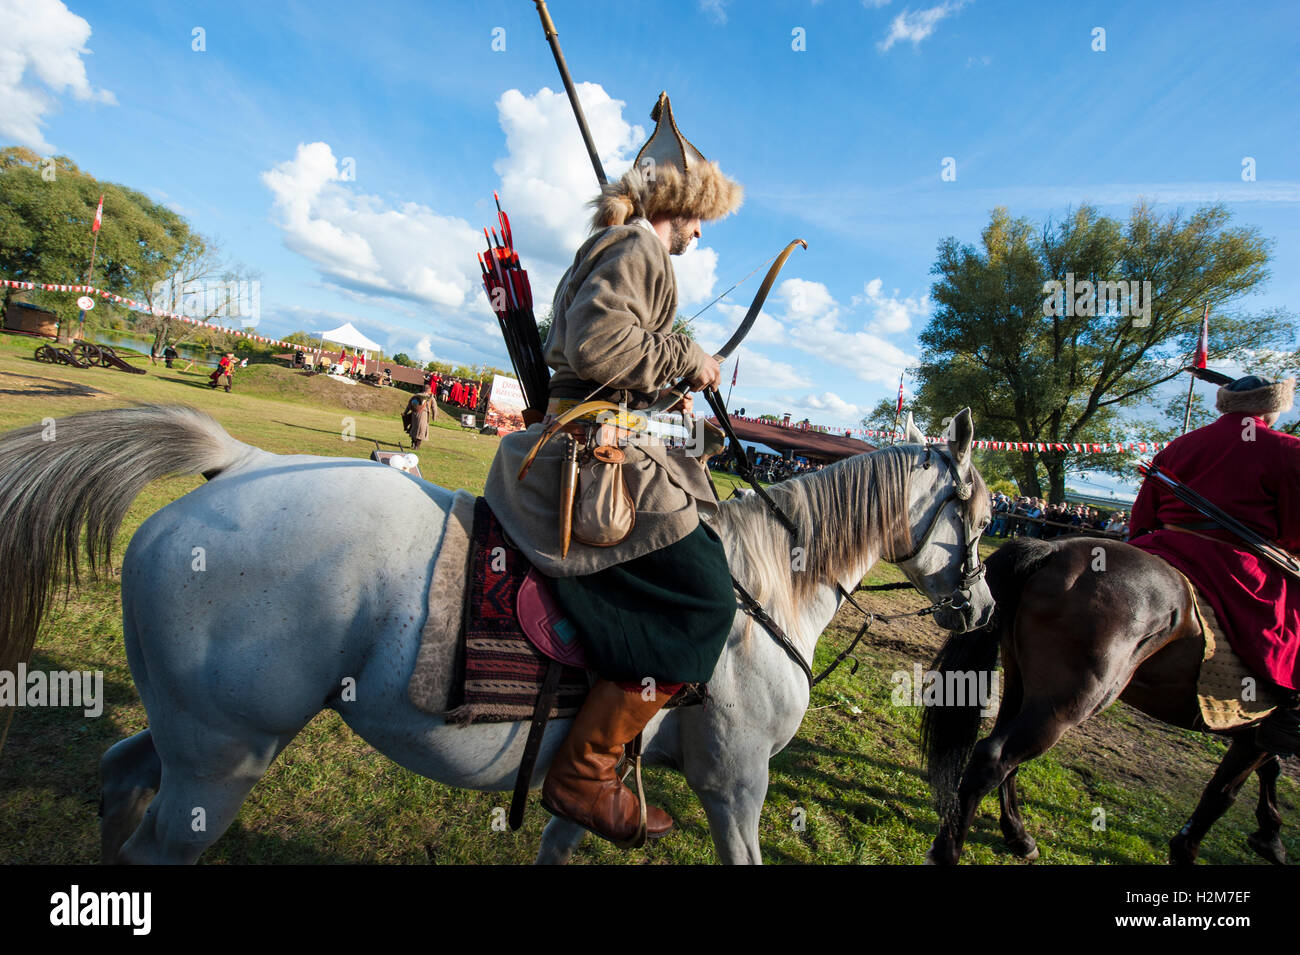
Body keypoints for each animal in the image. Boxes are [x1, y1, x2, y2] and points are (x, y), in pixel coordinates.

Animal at [0, 404, 993, 865]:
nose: (982, 609)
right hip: (222, 758)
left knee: (120, 773)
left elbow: (562, 838)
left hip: (194, 736)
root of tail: (240, 462)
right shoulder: (736, 785)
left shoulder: (593, 780)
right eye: (981, 512)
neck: (767, 591)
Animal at [921, 535, 1289, 865]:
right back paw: (947, 852)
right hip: (1065, 705)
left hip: (1021, 686)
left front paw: (1270, 837)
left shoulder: (1254, 730)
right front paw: (1190, 849)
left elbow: (1265, 771)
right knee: (994, 758)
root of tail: (1054, 549)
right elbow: (1222, 793)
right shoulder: (1260, 732)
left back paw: (1018, 835)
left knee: (1006, 760)